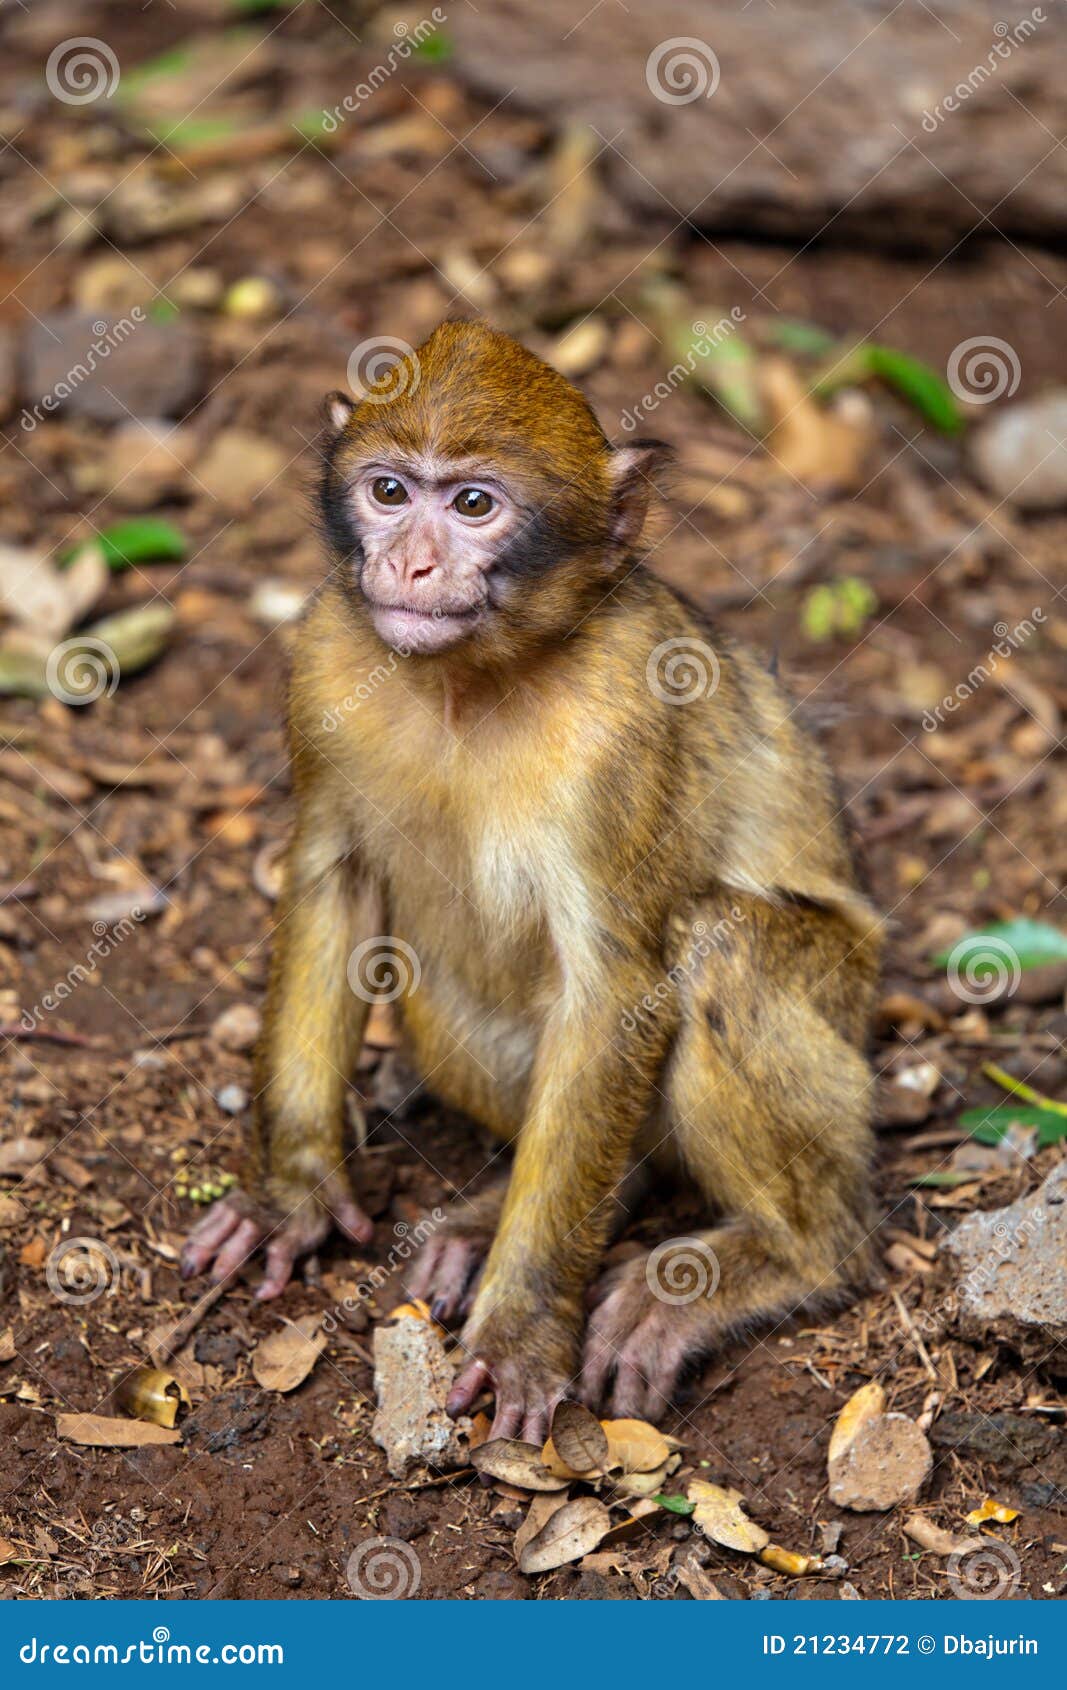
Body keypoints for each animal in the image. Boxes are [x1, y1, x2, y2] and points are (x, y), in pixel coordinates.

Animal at [182, 320, 882, 1443]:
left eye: (474, 504)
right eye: (389, 490)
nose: (409, 561)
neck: (470, 679)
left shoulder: (625, 713)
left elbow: (615, 986)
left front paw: (521, 1327)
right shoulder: (326, 653)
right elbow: (334, 884)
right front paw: (291, 1190)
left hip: (845, 1000)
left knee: (721, 942)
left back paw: (787, 1255)